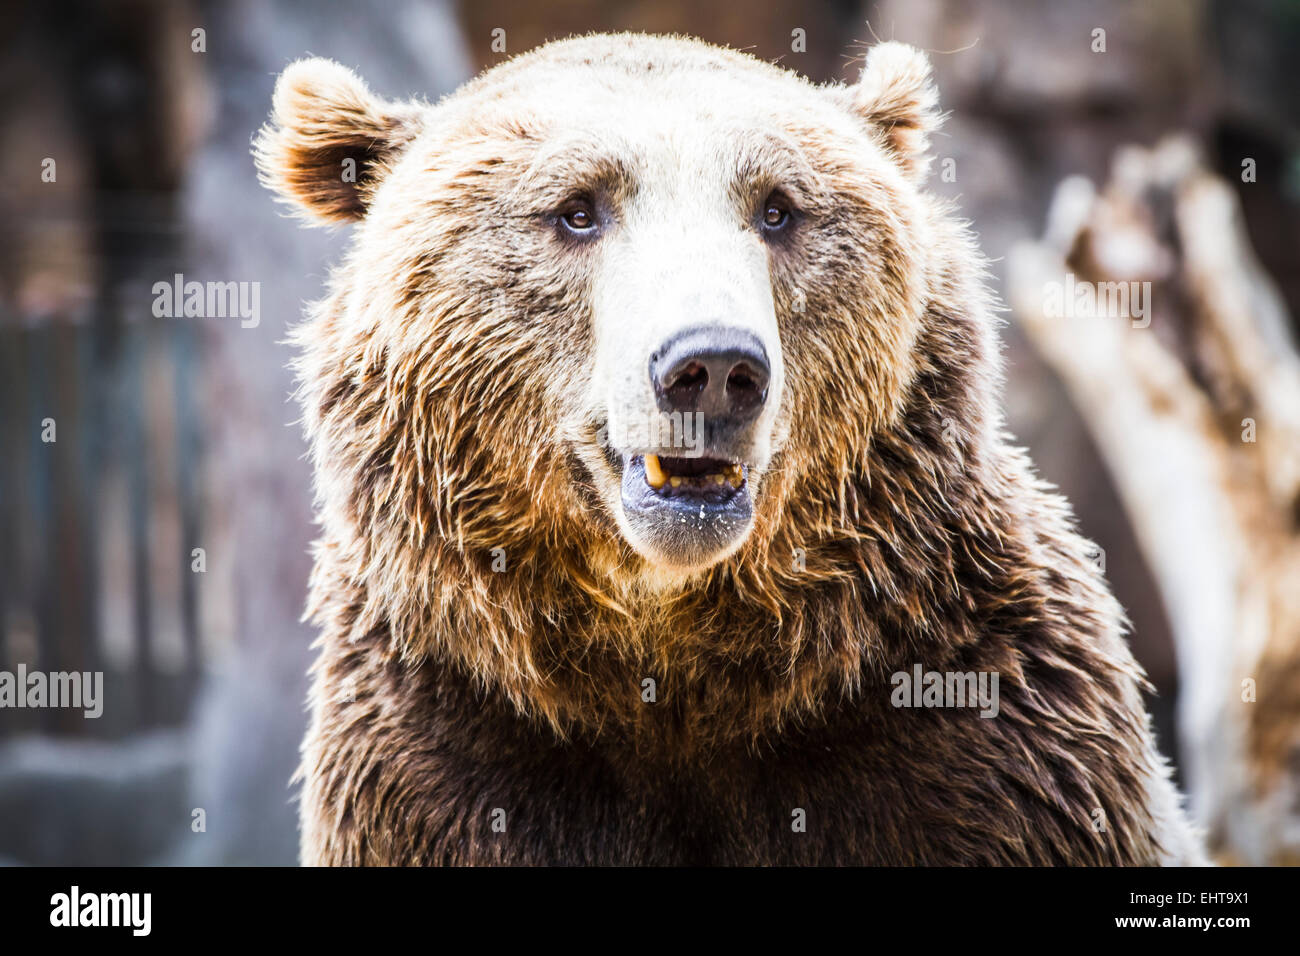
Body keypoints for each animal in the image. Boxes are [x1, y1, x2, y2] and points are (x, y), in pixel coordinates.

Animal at [254, 33, 1206, 865]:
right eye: (576, 210)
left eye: (777, 208)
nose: (710, 368)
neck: (675, 661)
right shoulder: (443, 755)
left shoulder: (983, 730)